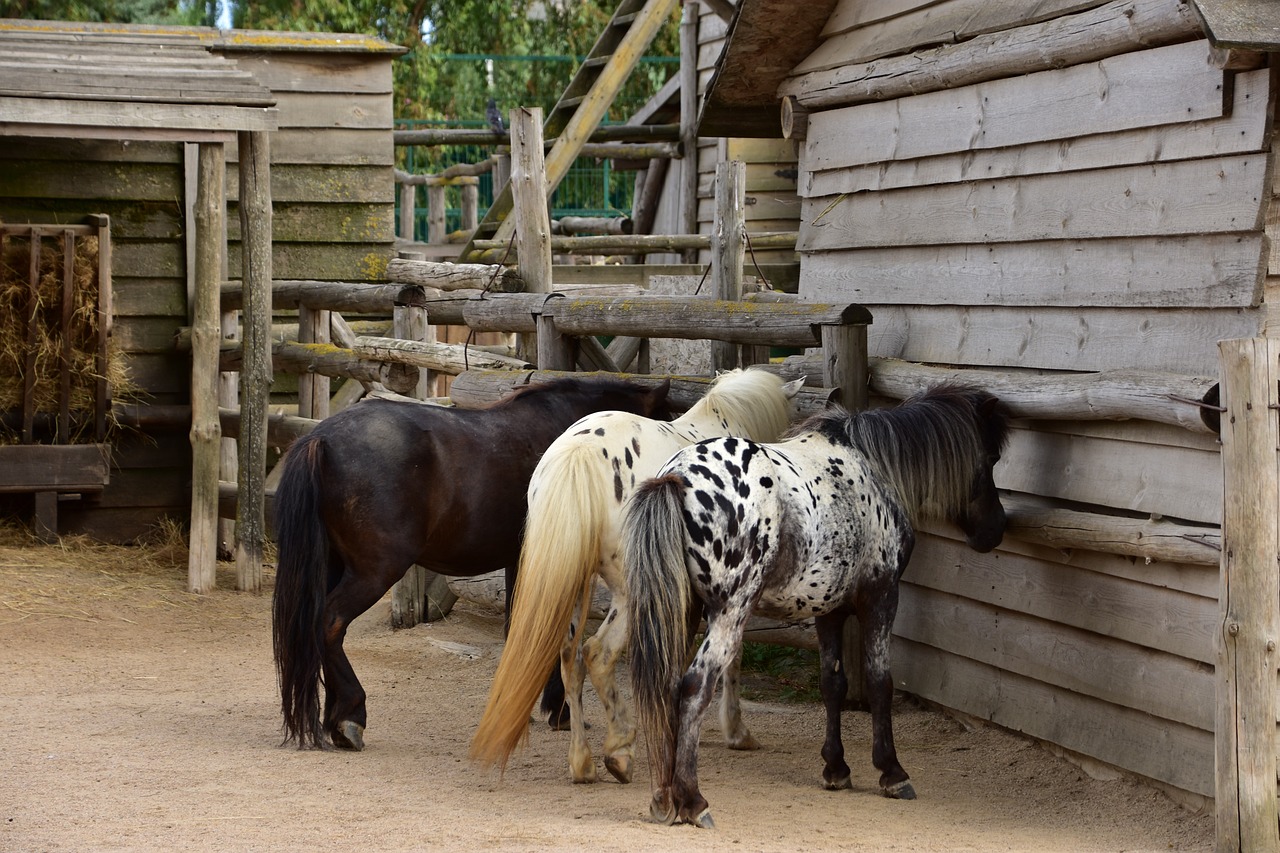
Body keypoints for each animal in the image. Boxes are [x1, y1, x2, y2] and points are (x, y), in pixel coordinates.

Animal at [271, 375, 672, 751]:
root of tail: (320, 439)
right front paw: (558, 710)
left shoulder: (520, 562)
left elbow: (519, 629)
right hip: (374, 572)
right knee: (330, 622)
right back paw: (350, 717)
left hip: (334, 566)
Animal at [469, 369, 805, 784]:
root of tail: (578, 454)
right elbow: (725, 656)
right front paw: (734, 731)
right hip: (629, 592)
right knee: (597, 654)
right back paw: (619, 750)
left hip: (571, 585)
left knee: (569, 659)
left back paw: (583, 762)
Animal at [624, 384, 1010, 828]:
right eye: (991, 458)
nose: (996, 530)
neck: (875, 468)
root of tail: (676, 477)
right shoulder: (881, 597)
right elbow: (879, 683)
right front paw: (892, 772)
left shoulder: (828, 611)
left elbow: (832, 684)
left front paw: (836, 768)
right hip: (727, 615)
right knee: (693, 688)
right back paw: (693, 801)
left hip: (682, 616)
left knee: (665, 688)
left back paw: (663, 797)